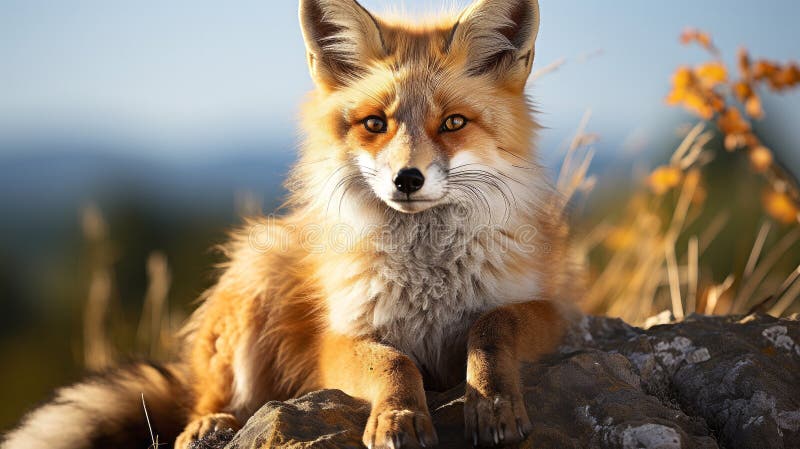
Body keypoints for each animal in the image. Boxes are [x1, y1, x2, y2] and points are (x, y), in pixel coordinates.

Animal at [2, 0, 580, 448]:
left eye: (453, 123)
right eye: (375, 123)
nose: (407, 179)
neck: (429, 278)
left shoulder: (549, 311)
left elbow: (491, 329)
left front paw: (494, 403)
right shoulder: (340, 340)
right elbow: (395, 364)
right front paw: (399, 415)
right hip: (258, 273)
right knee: (202, 402)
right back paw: (209, 424)